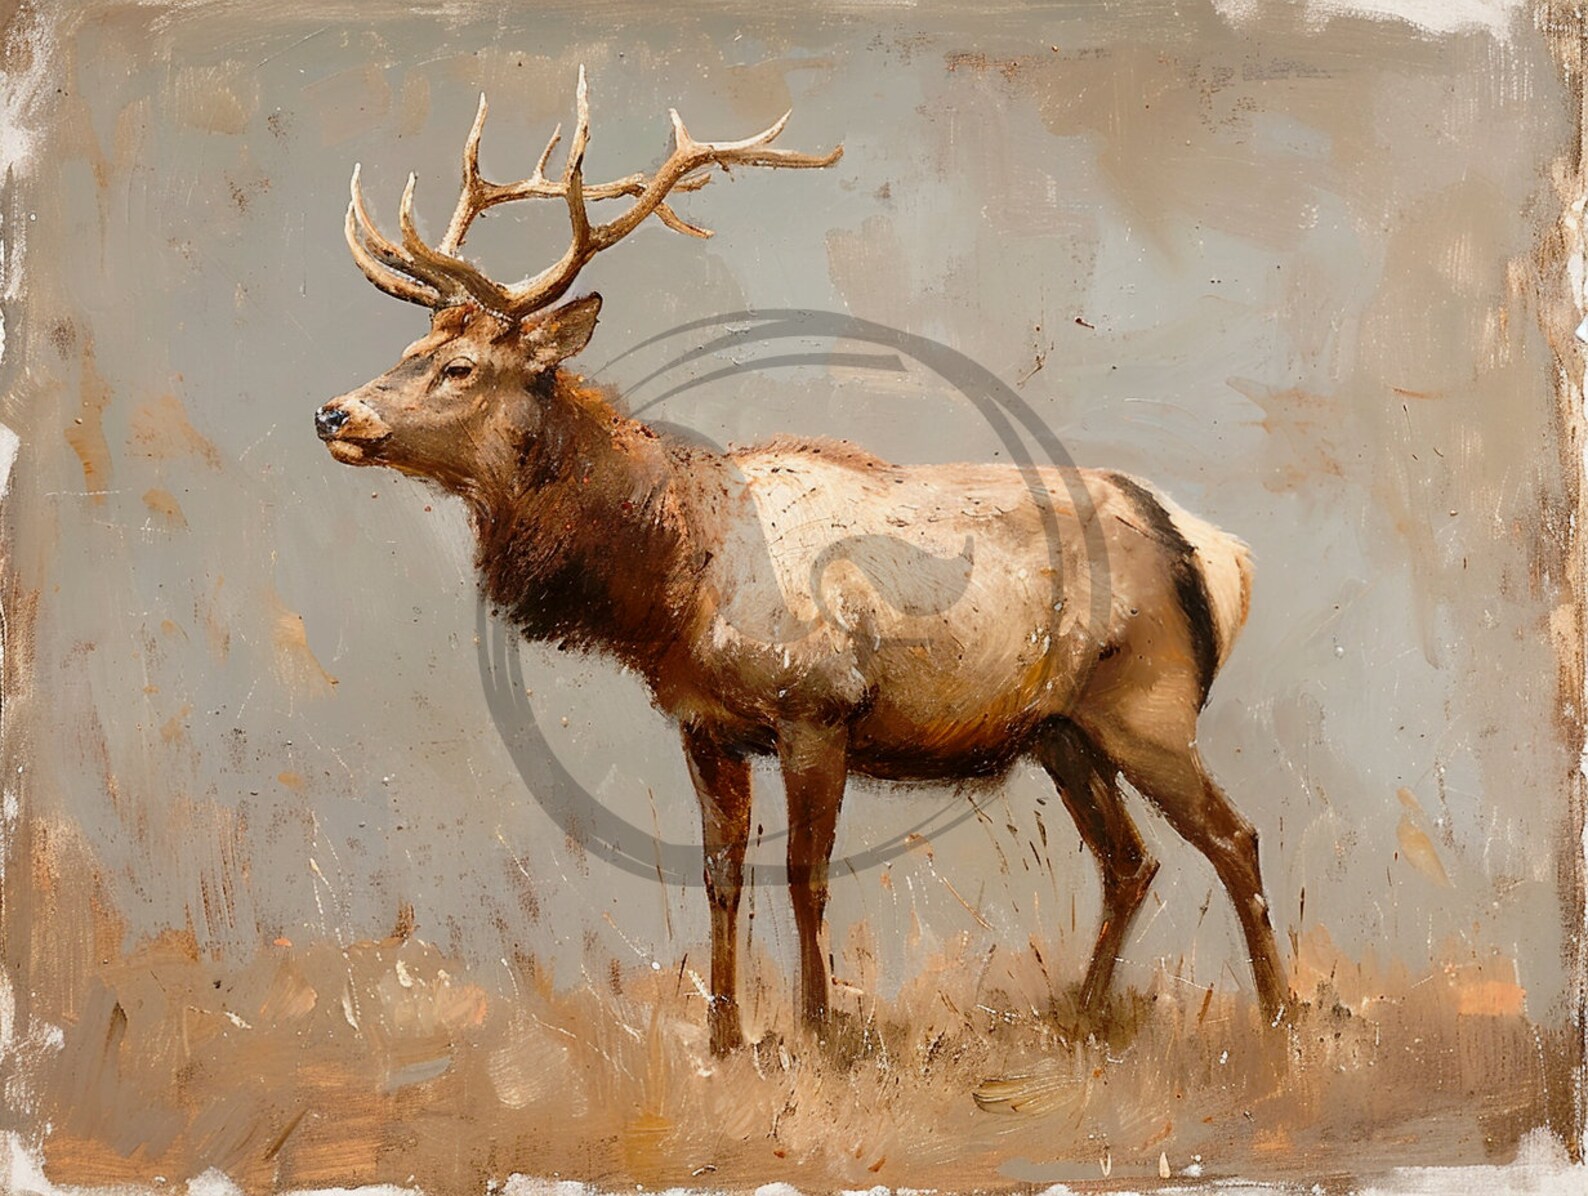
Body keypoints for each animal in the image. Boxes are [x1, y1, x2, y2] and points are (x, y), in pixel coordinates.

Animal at [314, 68, 1290, 1057]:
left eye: (461, 367)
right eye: (411, 349)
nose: (334, 413)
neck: (675, 580)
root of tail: (1219, 553)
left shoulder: (818, 706)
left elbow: (804, 873)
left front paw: (820, 1029)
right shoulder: (705, 724)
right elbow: (720, 874)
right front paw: (723, 1036)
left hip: (1149, 703)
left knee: (1235, 838)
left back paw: (1281, 1018)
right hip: (1063, 729)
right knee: (1131, 861)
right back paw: (1082, 1014)